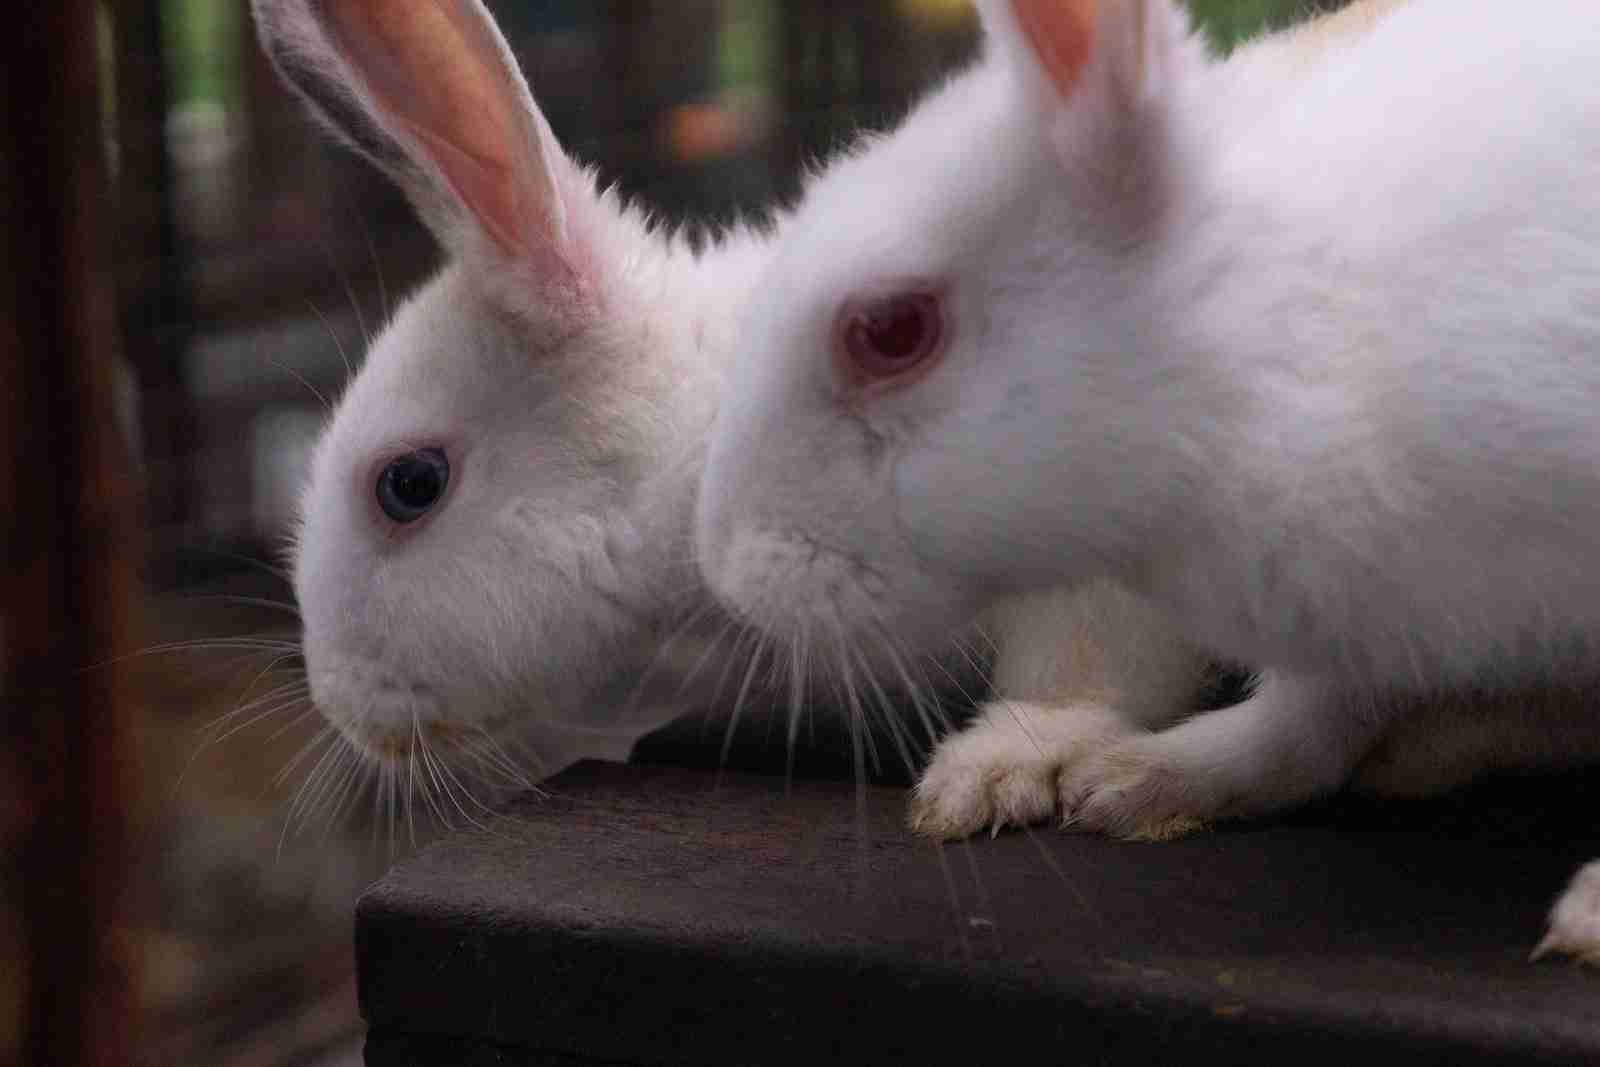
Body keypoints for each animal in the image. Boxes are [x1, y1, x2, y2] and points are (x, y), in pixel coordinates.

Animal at [693, 0, 1600, 956]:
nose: (721, 567)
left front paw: (1587, 914)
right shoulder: (1368, 625)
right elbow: (1304, 730)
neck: (1259, 349)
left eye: (891, 330)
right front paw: (1141, 781)